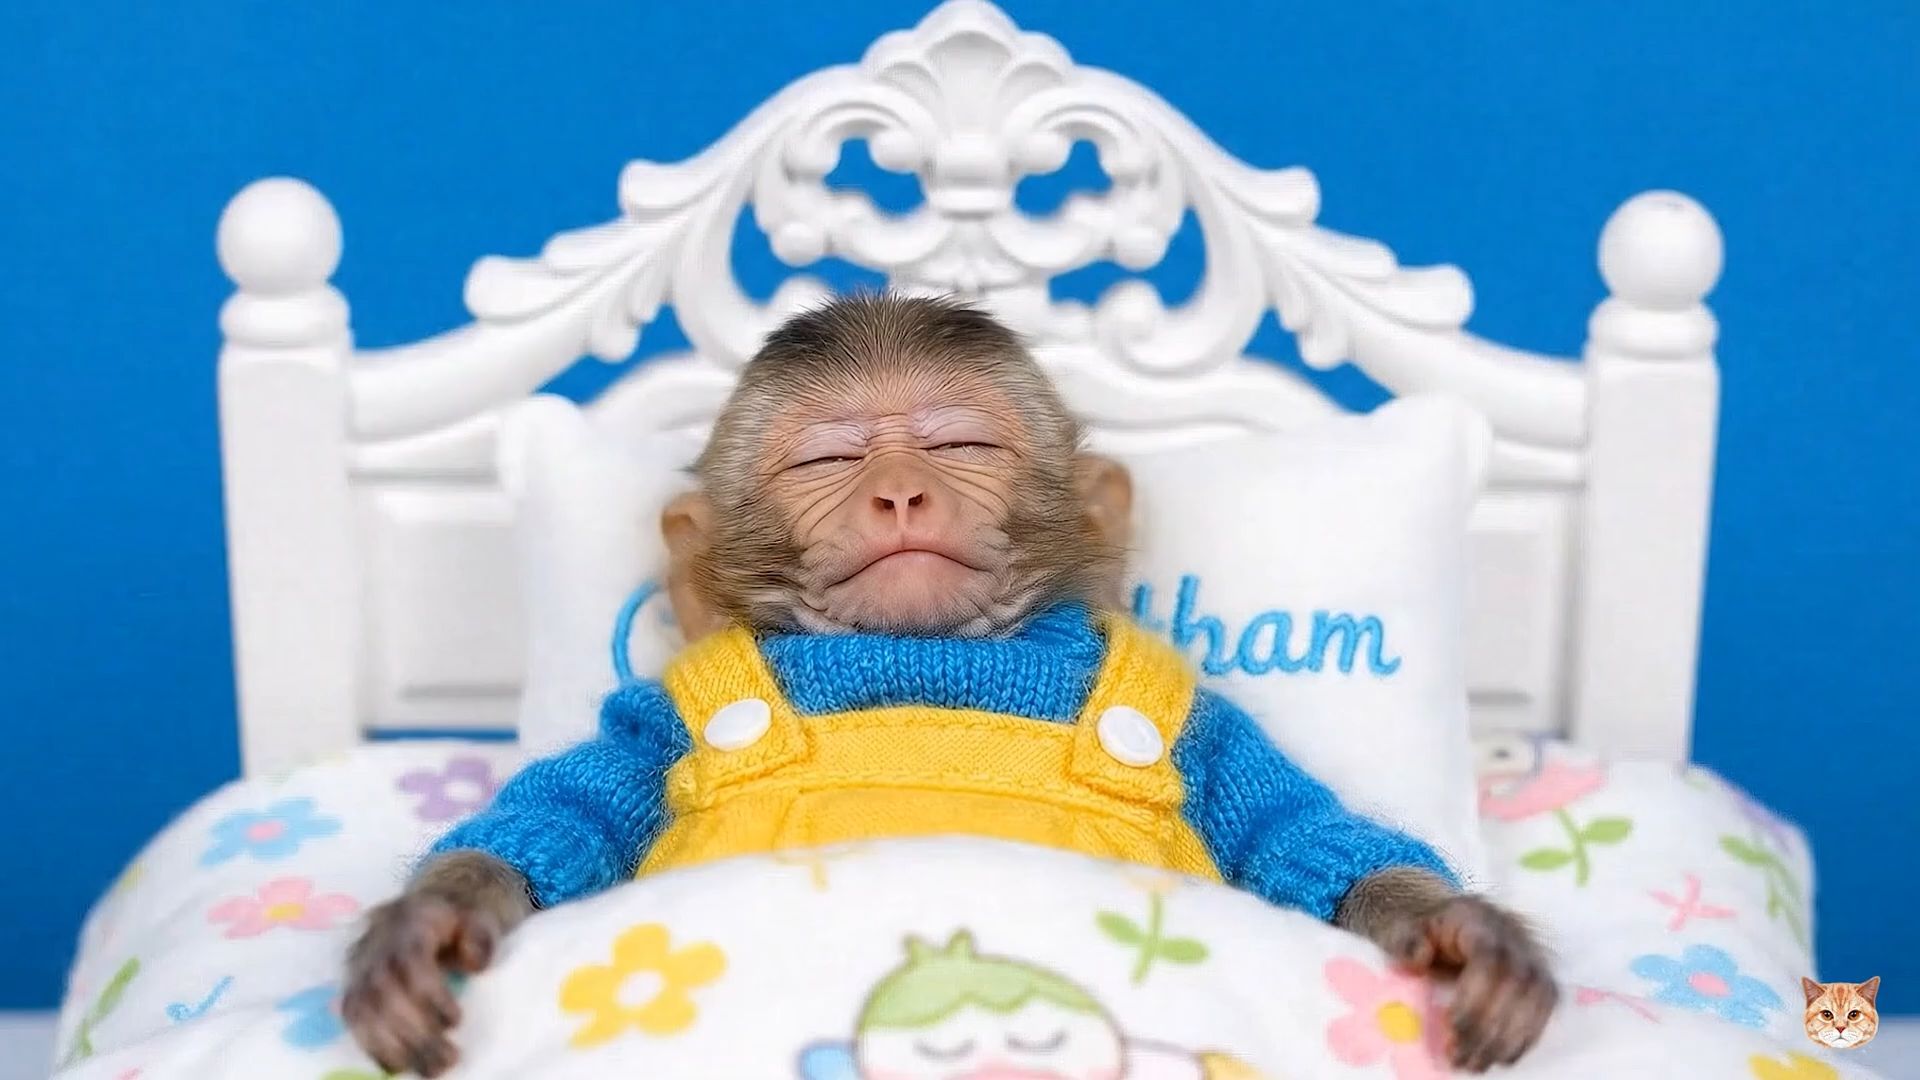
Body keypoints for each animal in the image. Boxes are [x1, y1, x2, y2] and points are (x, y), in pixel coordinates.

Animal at [343, 293, 1556, 1077]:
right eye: (826, 461)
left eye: (962, 444)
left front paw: (1455, 931)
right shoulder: (654, 720)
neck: (930, 657)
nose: (899, 493)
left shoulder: (1207, 728)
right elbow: (567, 815)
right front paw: (429, 923)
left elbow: (1289, 832)